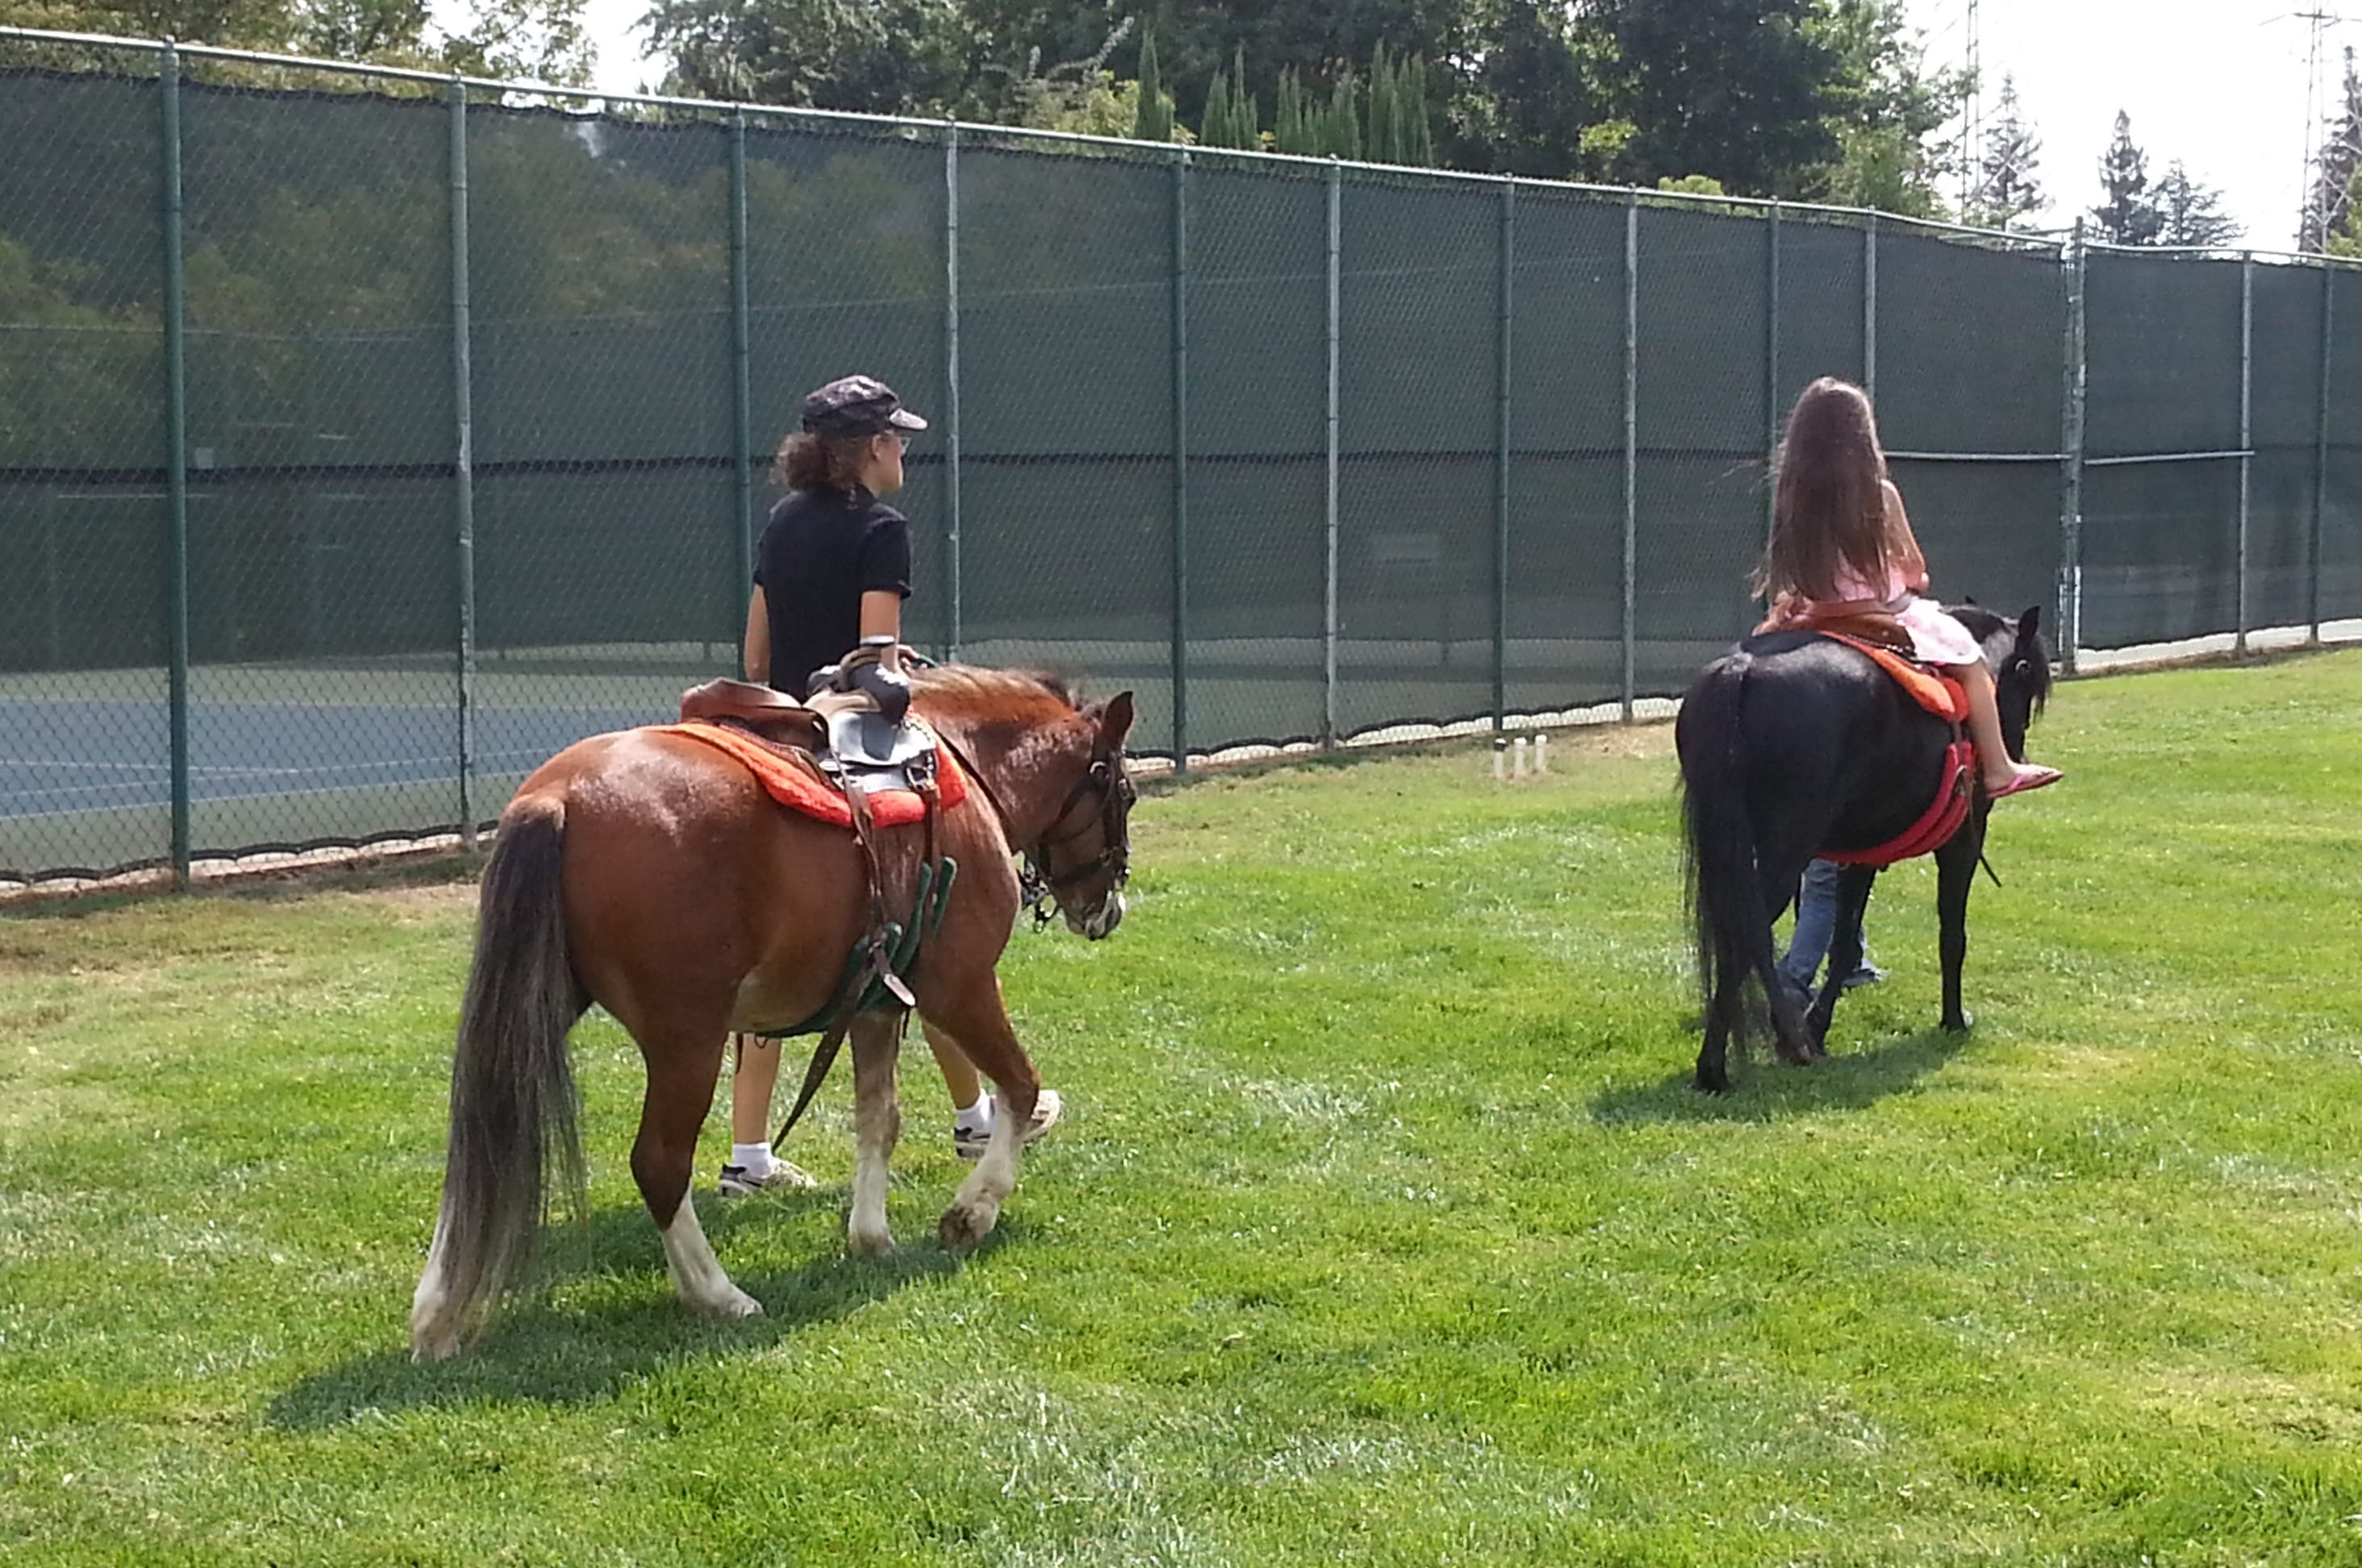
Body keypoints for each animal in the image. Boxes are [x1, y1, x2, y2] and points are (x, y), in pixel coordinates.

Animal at [408, 667, 1137, 1359]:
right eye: (1123, 793)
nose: (1106, 910)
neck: (961, 768)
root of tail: (556, 797)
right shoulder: (959, 987)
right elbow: (1018, 1085)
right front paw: (971, 1213)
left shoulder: (875, 1006)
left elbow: (880, 1119)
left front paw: (871, 1234)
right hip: (688, 1039)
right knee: (659, 1162)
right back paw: (717, 1293)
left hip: (538, 1012)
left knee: (483, 1136)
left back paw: (437, 1313)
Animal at [1676, 604, 2052, 1093]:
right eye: (2026, 673)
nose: (2015, 752)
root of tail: (1740, 669)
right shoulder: (1964, 843)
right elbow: (1952, 934)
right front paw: (1953, 1019)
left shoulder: (1862, 855)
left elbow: (1841, 945)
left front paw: (1819, 1027)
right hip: (1783, 851)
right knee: (1745, 936)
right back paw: (1726, 1064)